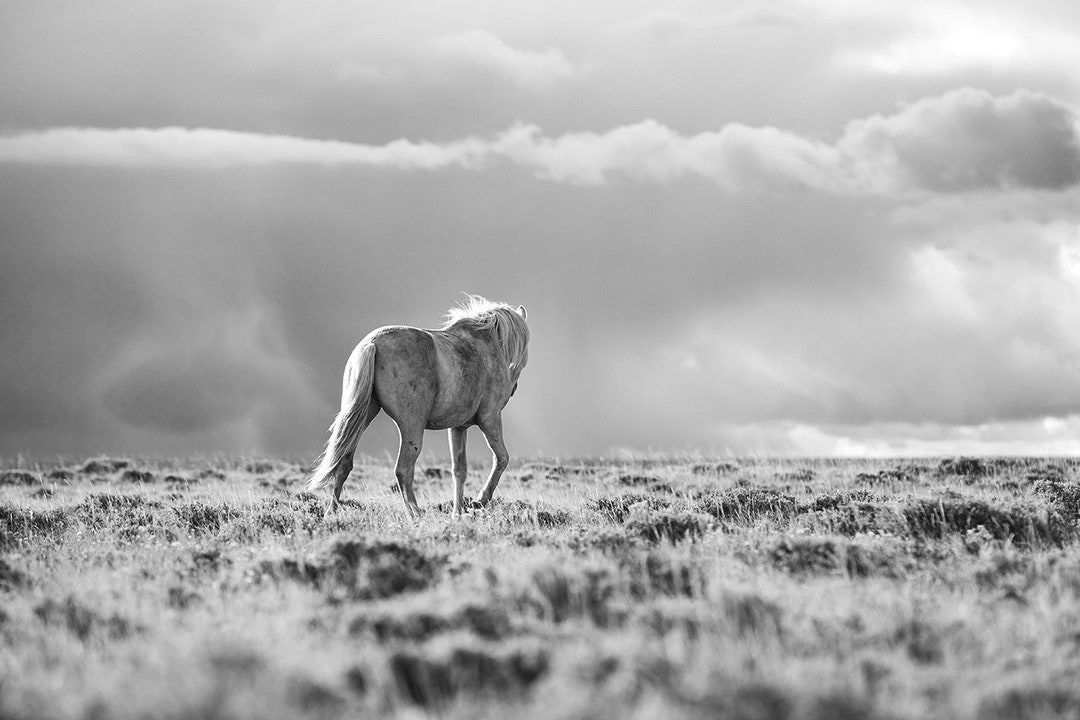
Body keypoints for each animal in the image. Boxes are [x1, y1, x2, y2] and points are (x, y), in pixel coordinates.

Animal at [306, 295, 530, 517]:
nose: (513, 389)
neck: (484, 346)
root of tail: (373, 343)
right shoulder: (490, 418)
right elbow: (502, 458)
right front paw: (481, 499)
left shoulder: (458, 427)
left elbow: (459, 470)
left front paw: (458, 512)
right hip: (412, 427)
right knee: (403, 470)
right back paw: (416, 514)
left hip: (362, 417)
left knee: (344, 462)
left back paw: (332, 511)